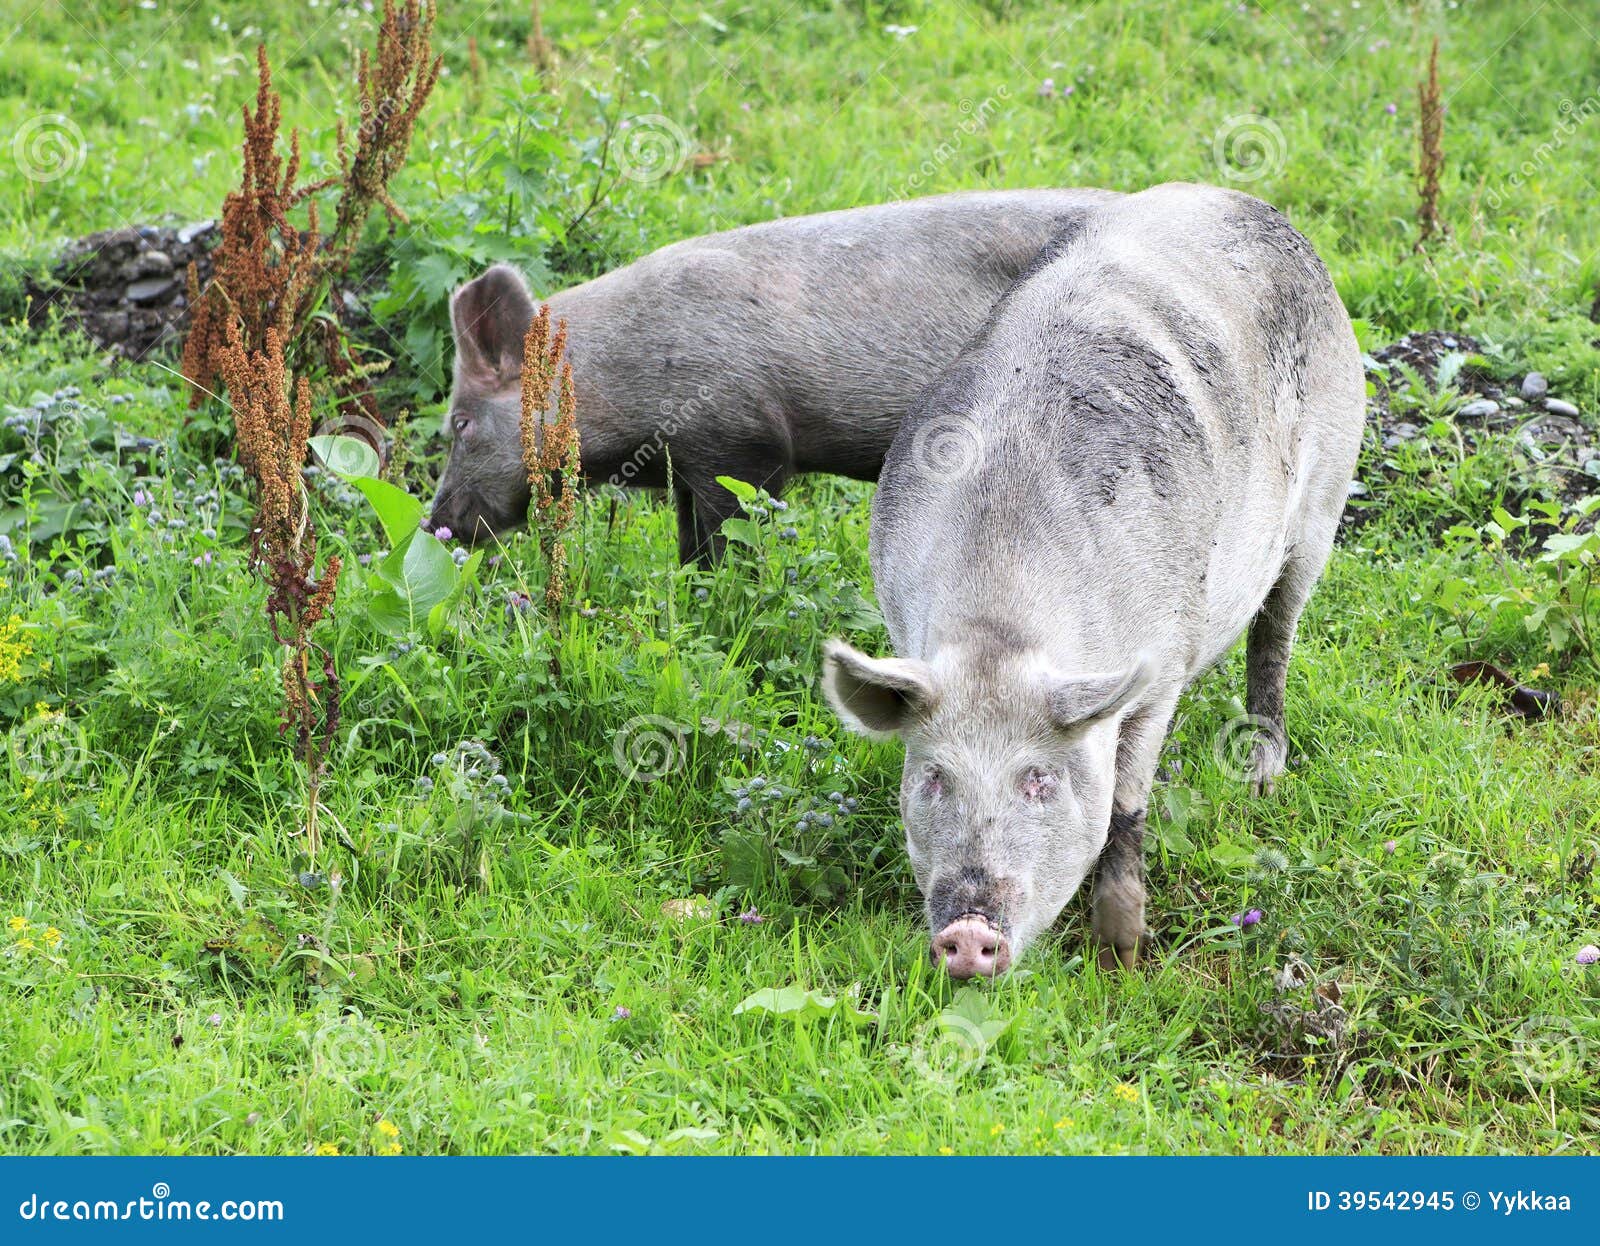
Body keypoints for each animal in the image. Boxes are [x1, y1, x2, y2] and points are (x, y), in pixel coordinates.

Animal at [821, 183, 1364, 978]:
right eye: (934, 777)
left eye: (1039, 779)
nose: (967, 933)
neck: (1000, 632)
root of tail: (1233, 197)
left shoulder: (1162, 662)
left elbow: (1126, 802)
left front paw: (1123, 959)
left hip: (1327, 494)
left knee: (1277, 632)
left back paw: (1262, 777)